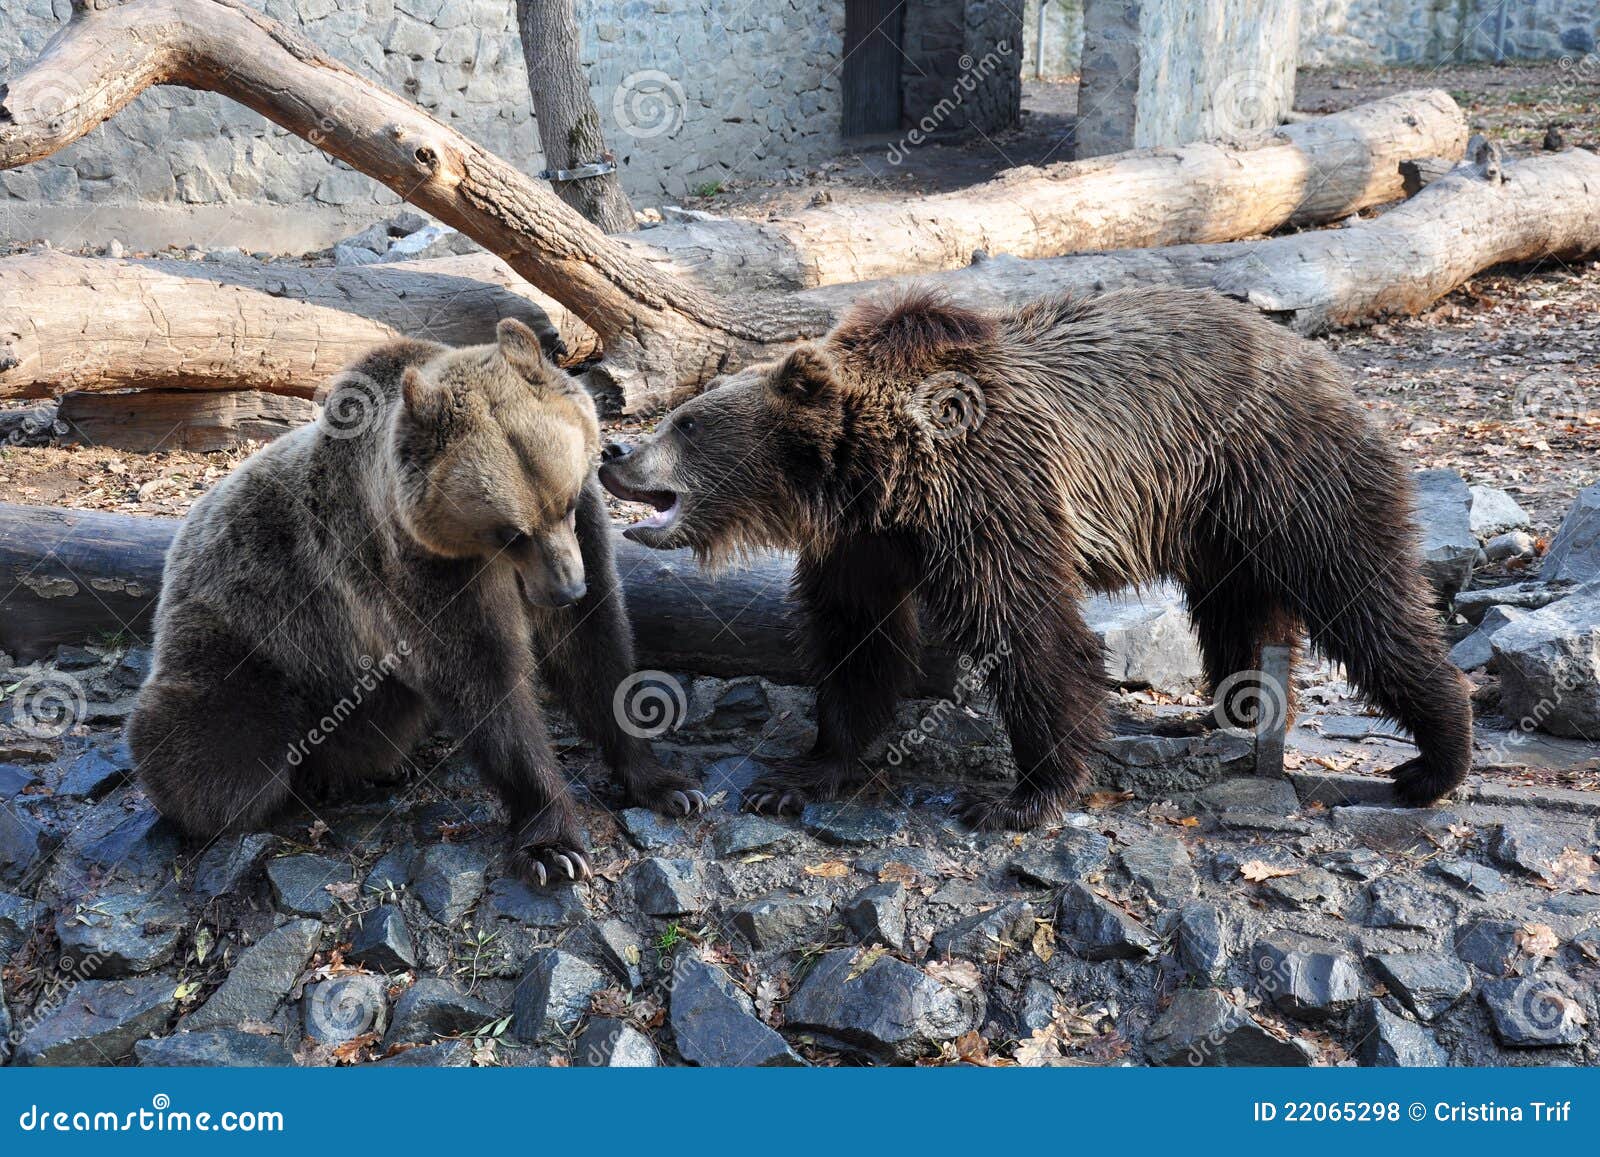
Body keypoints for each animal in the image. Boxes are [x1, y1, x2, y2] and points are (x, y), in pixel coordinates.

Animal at [128, 319, 704, 883]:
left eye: (561, 505)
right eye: (511, 532)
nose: (564, 590)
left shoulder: (579, 535)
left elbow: (594, 649)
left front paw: (668, 785)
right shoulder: (415, 570)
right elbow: (483, 681)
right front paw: (553, 847)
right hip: (250, 645)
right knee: (222, 758)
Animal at [598, 285, 1473, 830]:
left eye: (686, 422)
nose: (614, 452)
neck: (876, 476)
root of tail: (1324, 359)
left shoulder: (993, 491)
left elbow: (1028, 630)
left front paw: (1024, 795)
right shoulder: (864, 546)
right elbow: (856, 642)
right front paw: (803, 772)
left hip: (1283, 467)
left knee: (1361, 593)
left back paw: (1435, 757)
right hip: (1220, 522)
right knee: (1238, 611)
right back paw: (1231, 710)